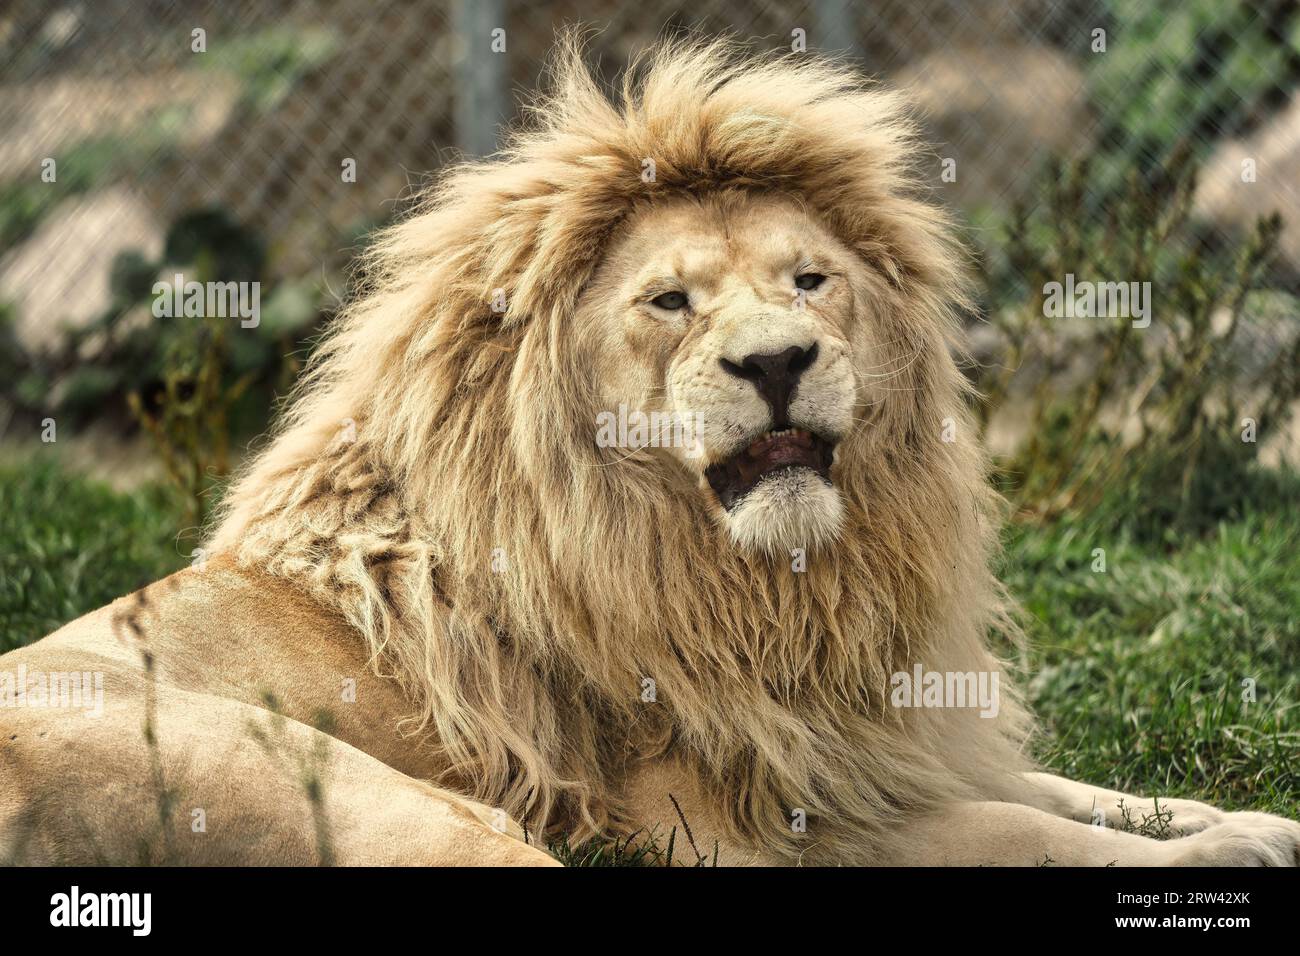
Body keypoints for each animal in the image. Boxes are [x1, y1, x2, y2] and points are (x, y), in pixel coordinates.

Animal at [3, 38, 1298, 867]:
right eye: (670, 301)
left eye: (808, 279)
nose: (777, 362)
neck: (761, 583)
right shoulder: (737, 828)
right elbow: (1021, 832)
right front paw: (1219, 854)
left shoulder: (859, 745)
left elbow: (1078, 792)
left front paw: (1244, 821)